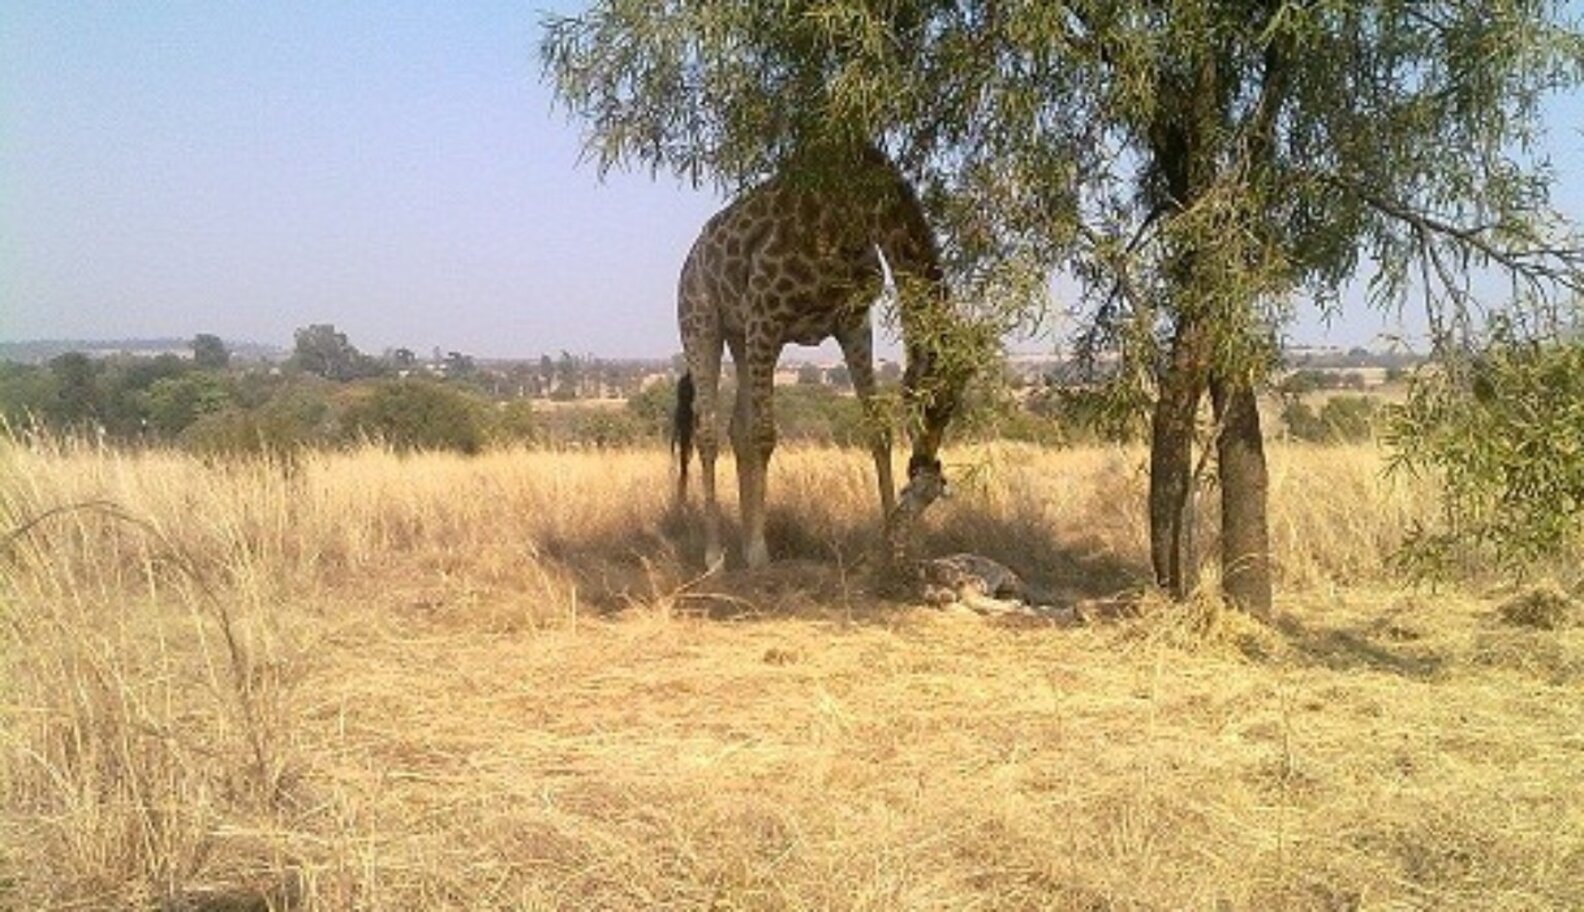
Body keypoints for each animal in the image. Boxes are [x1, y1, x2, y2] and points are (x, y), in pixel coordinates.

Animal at [672, 145, 958, 571]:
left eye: (953, 407)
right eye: (924, 402)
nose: (923, 464)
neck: (852, 214)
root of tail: (690, 260)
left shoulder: (854, 322)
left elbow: (877, 429)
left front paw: (892, 543)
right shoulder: (767, 316)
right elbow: (765, 435)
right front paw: (760, 553)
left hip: (741, 336)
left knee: (736, 426)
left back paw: (739, 542)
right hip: (702, 321)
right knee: (707, 430)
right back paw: (716, 555)